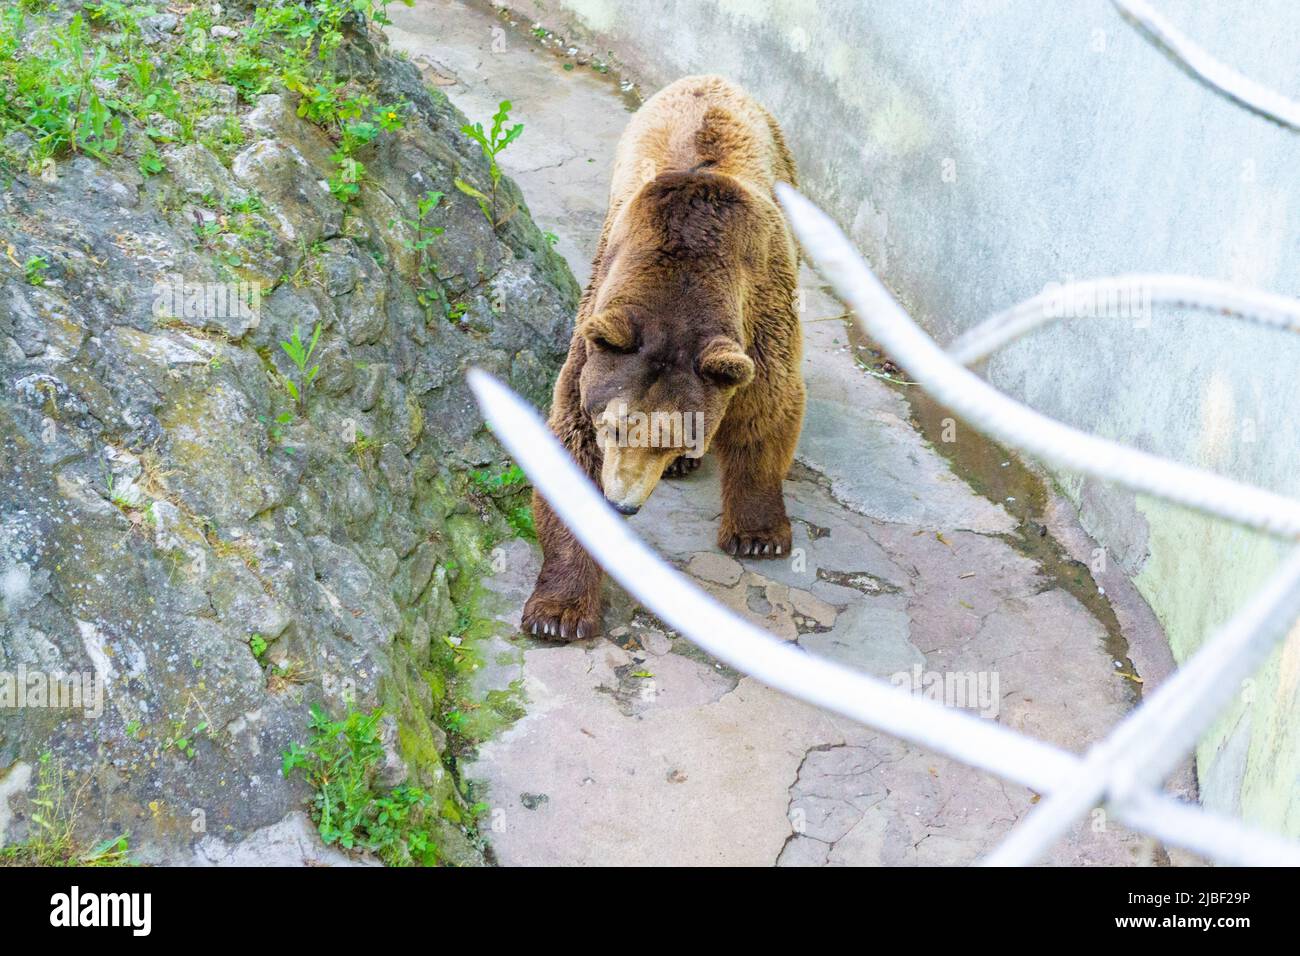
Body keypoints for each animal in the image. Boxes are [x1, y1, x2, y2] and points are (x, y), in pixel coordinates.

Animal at [522, 74, 805, 640]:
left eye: (674, 435)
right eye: (612, 426)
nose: (622, 504)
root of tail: (710, 78)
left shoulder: (758, 316)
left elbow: (766, 411)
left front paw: (758, 533)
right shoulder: (593, 346)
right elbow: (569, 443)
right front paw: (558, 615)